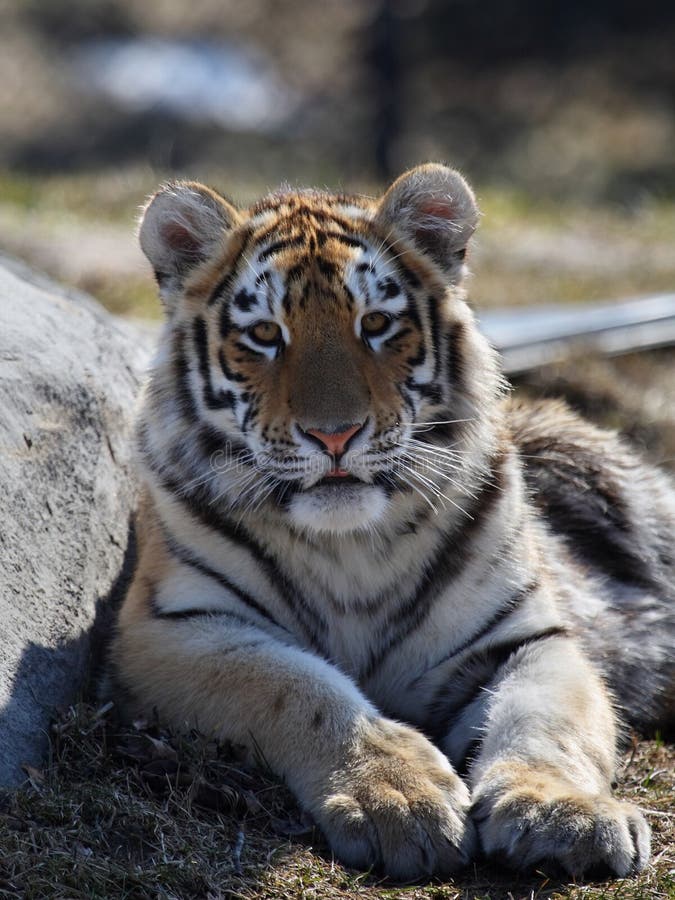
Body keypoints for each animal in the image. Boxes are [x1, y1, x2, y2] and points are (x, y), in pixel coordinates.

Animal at [108, 163, 675, 881]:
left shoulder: (522, 638)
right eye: (264, 335)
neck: (349, 545)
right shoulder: (173, 628)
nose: (334, 434)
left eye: (375, 323)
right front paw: (399, 801)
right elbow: (299, 686)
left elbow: (547, 724)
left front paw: (561, 812)